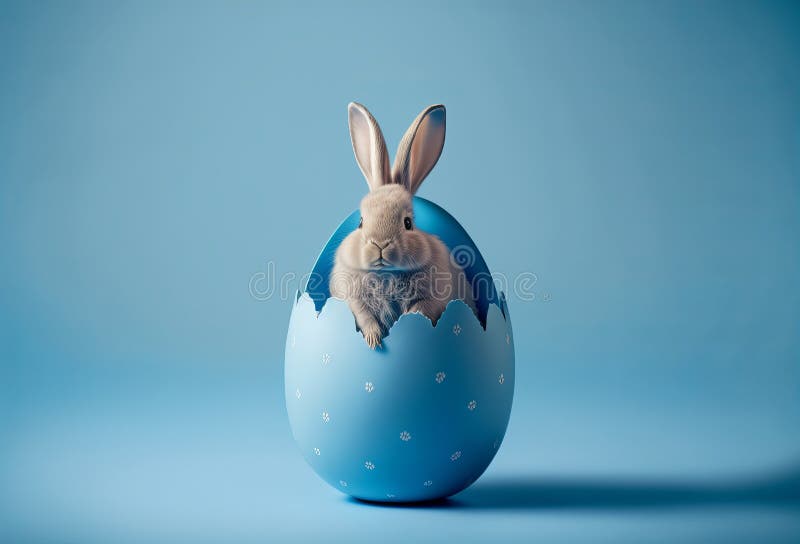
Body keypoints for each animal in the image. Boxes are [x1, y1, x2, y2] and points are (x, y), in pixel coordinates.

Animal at [330, 102, 476, 349]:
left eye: (408, 223)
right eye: (361, 222)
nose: (380, 244)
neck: (387, 274)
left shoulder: (432, 299)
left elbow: (419, 311)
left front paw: (405, 323)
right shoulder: (353, 299)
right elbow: (364, 316)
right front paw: (374, 340)